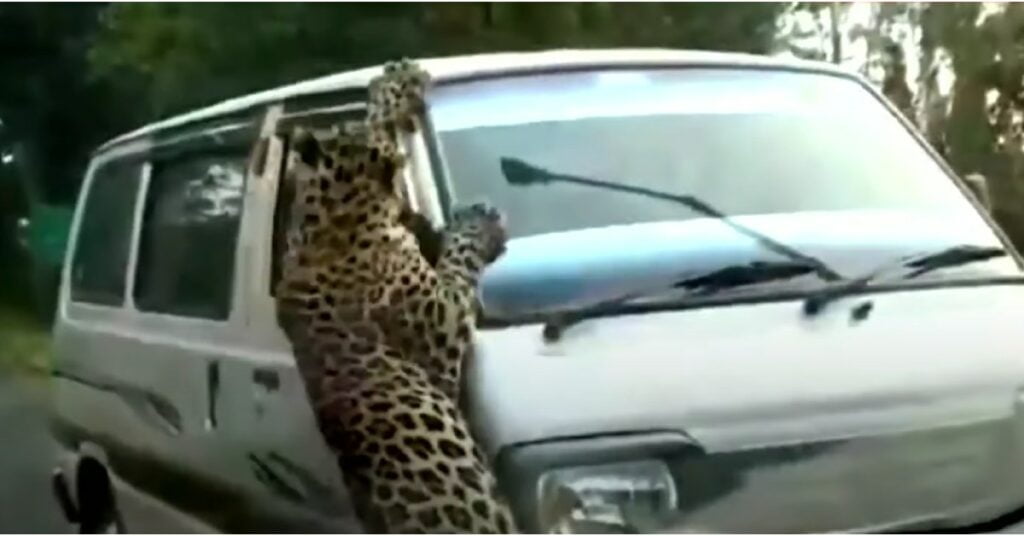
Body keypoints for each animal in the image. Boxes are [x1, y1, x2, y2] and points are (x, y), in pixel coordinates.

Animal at [273, 58, 517, 533]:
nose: (400, 69)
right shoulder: (440, 331)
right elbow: (458, 261)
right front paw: (480, 222)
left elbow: (379, 120)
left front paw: (396, 82)